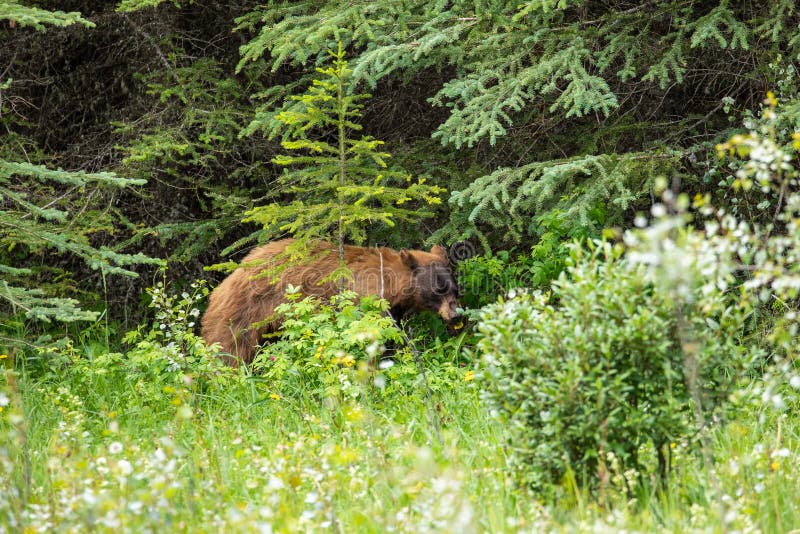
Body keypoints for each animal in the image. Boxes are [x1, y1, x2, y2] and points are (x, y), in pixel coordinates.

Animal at [201, 239, 462, 365]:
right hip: (246, 310)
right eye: (438, 289)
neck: (389, 284)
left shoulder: (392, 311)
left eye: (455, 288)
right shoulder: (361, 303)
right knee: (230, 346)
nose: (456, 314)